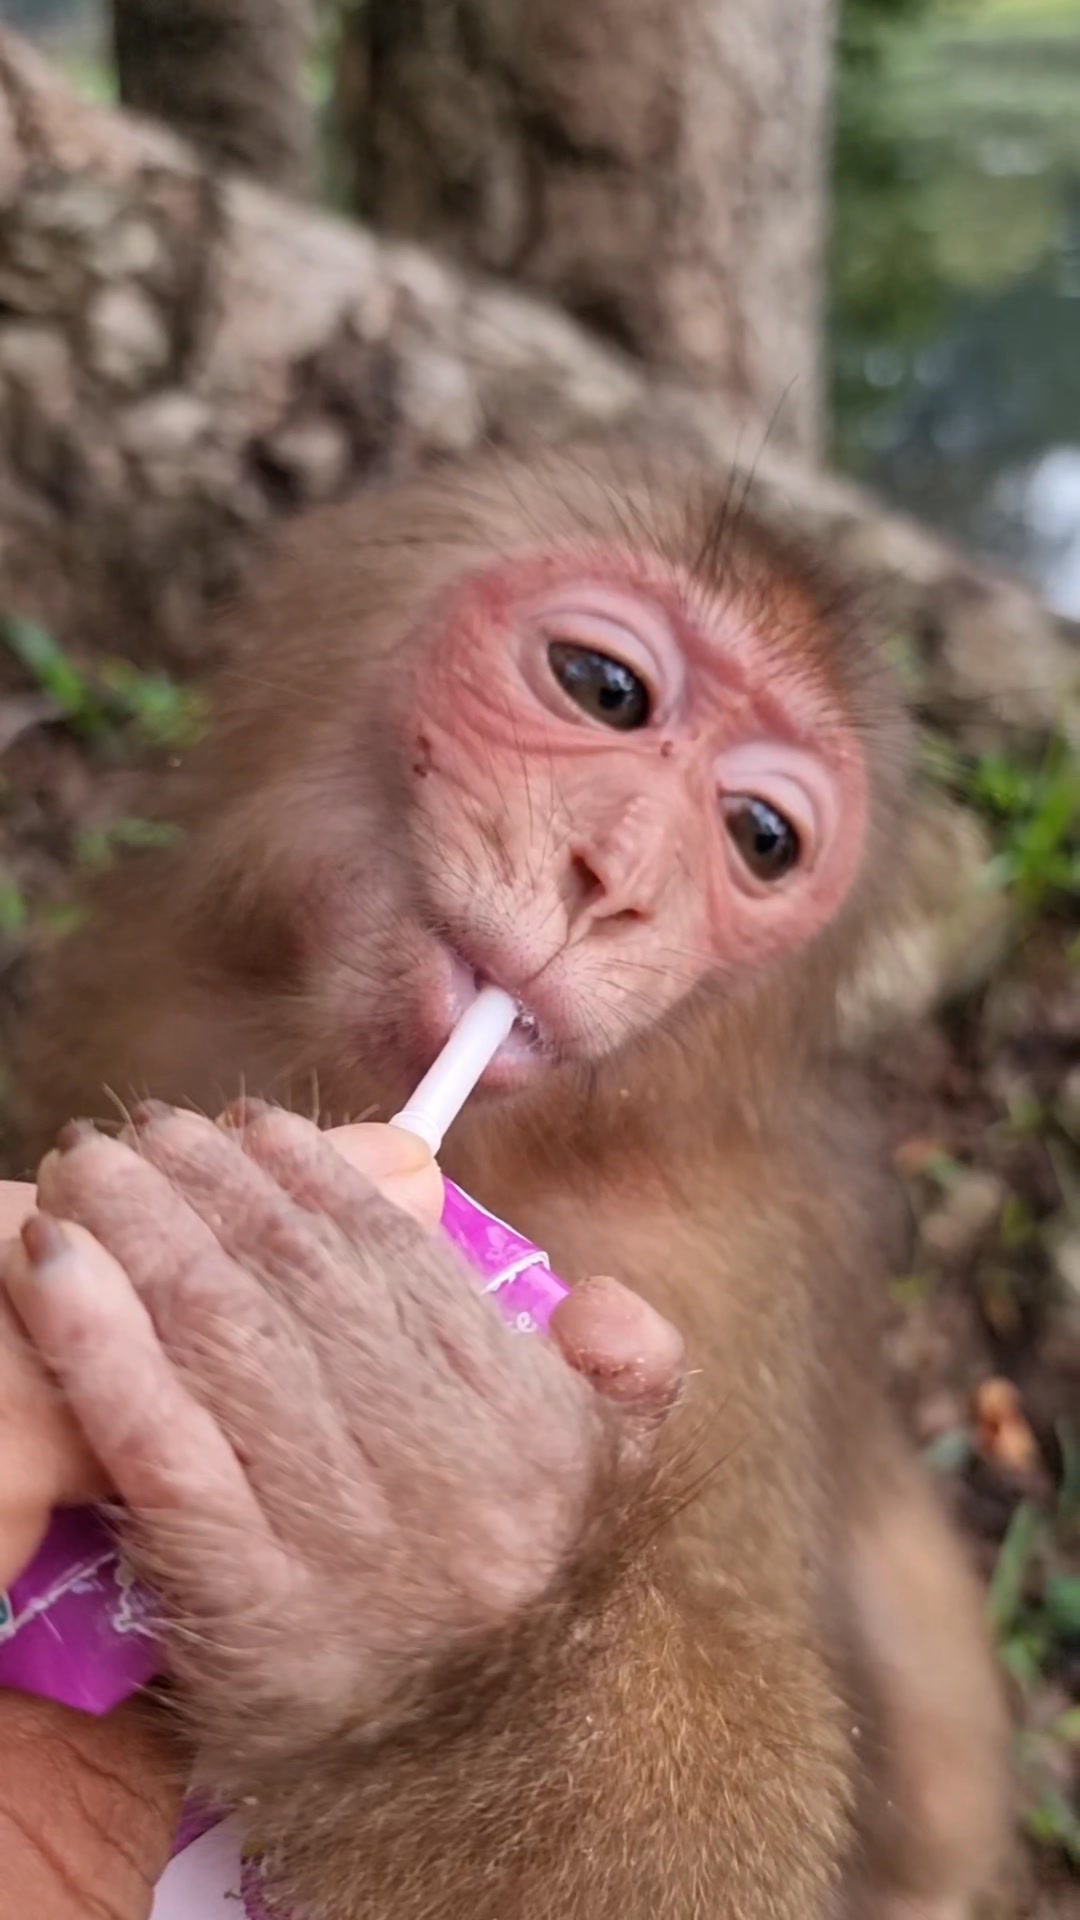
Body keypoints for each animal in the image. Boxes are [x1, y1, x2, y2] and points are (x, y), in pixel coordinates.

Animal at [11, 438, 1010, 1919]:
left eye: (762, 839)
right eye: (604, 689)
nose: (614, 879)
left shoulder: (709, 1271)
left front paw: (434, 1581)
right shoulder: (144, 972)